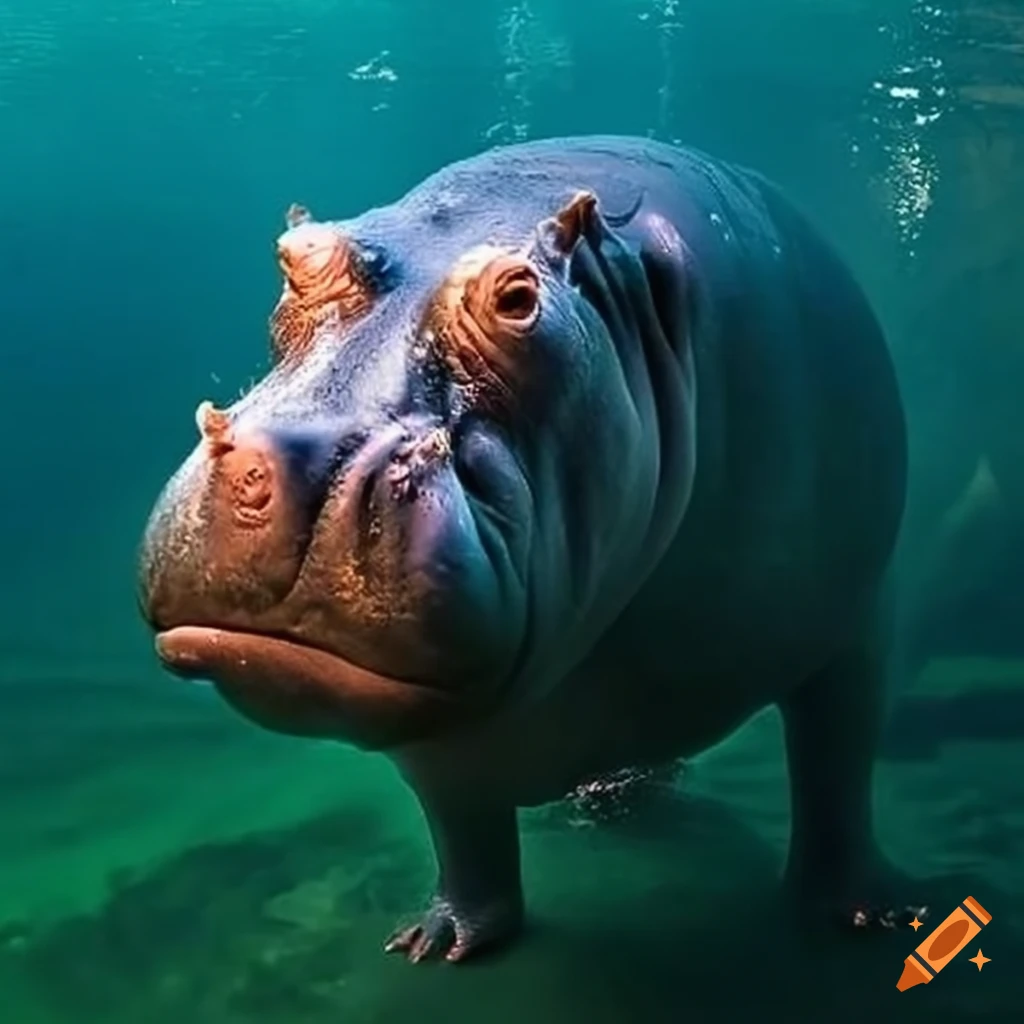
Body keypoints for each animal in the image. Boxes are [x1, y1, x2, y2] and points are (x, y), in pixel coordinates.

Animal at [139, 136, 909, 963]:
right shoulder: (435, 742)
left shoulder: (851, 622)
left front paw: (866, 915)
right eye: (293, 258)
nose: (296, 460)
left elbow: (836, 763)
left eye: (517, 298)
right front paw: (437, 942)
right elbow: (462, 826)